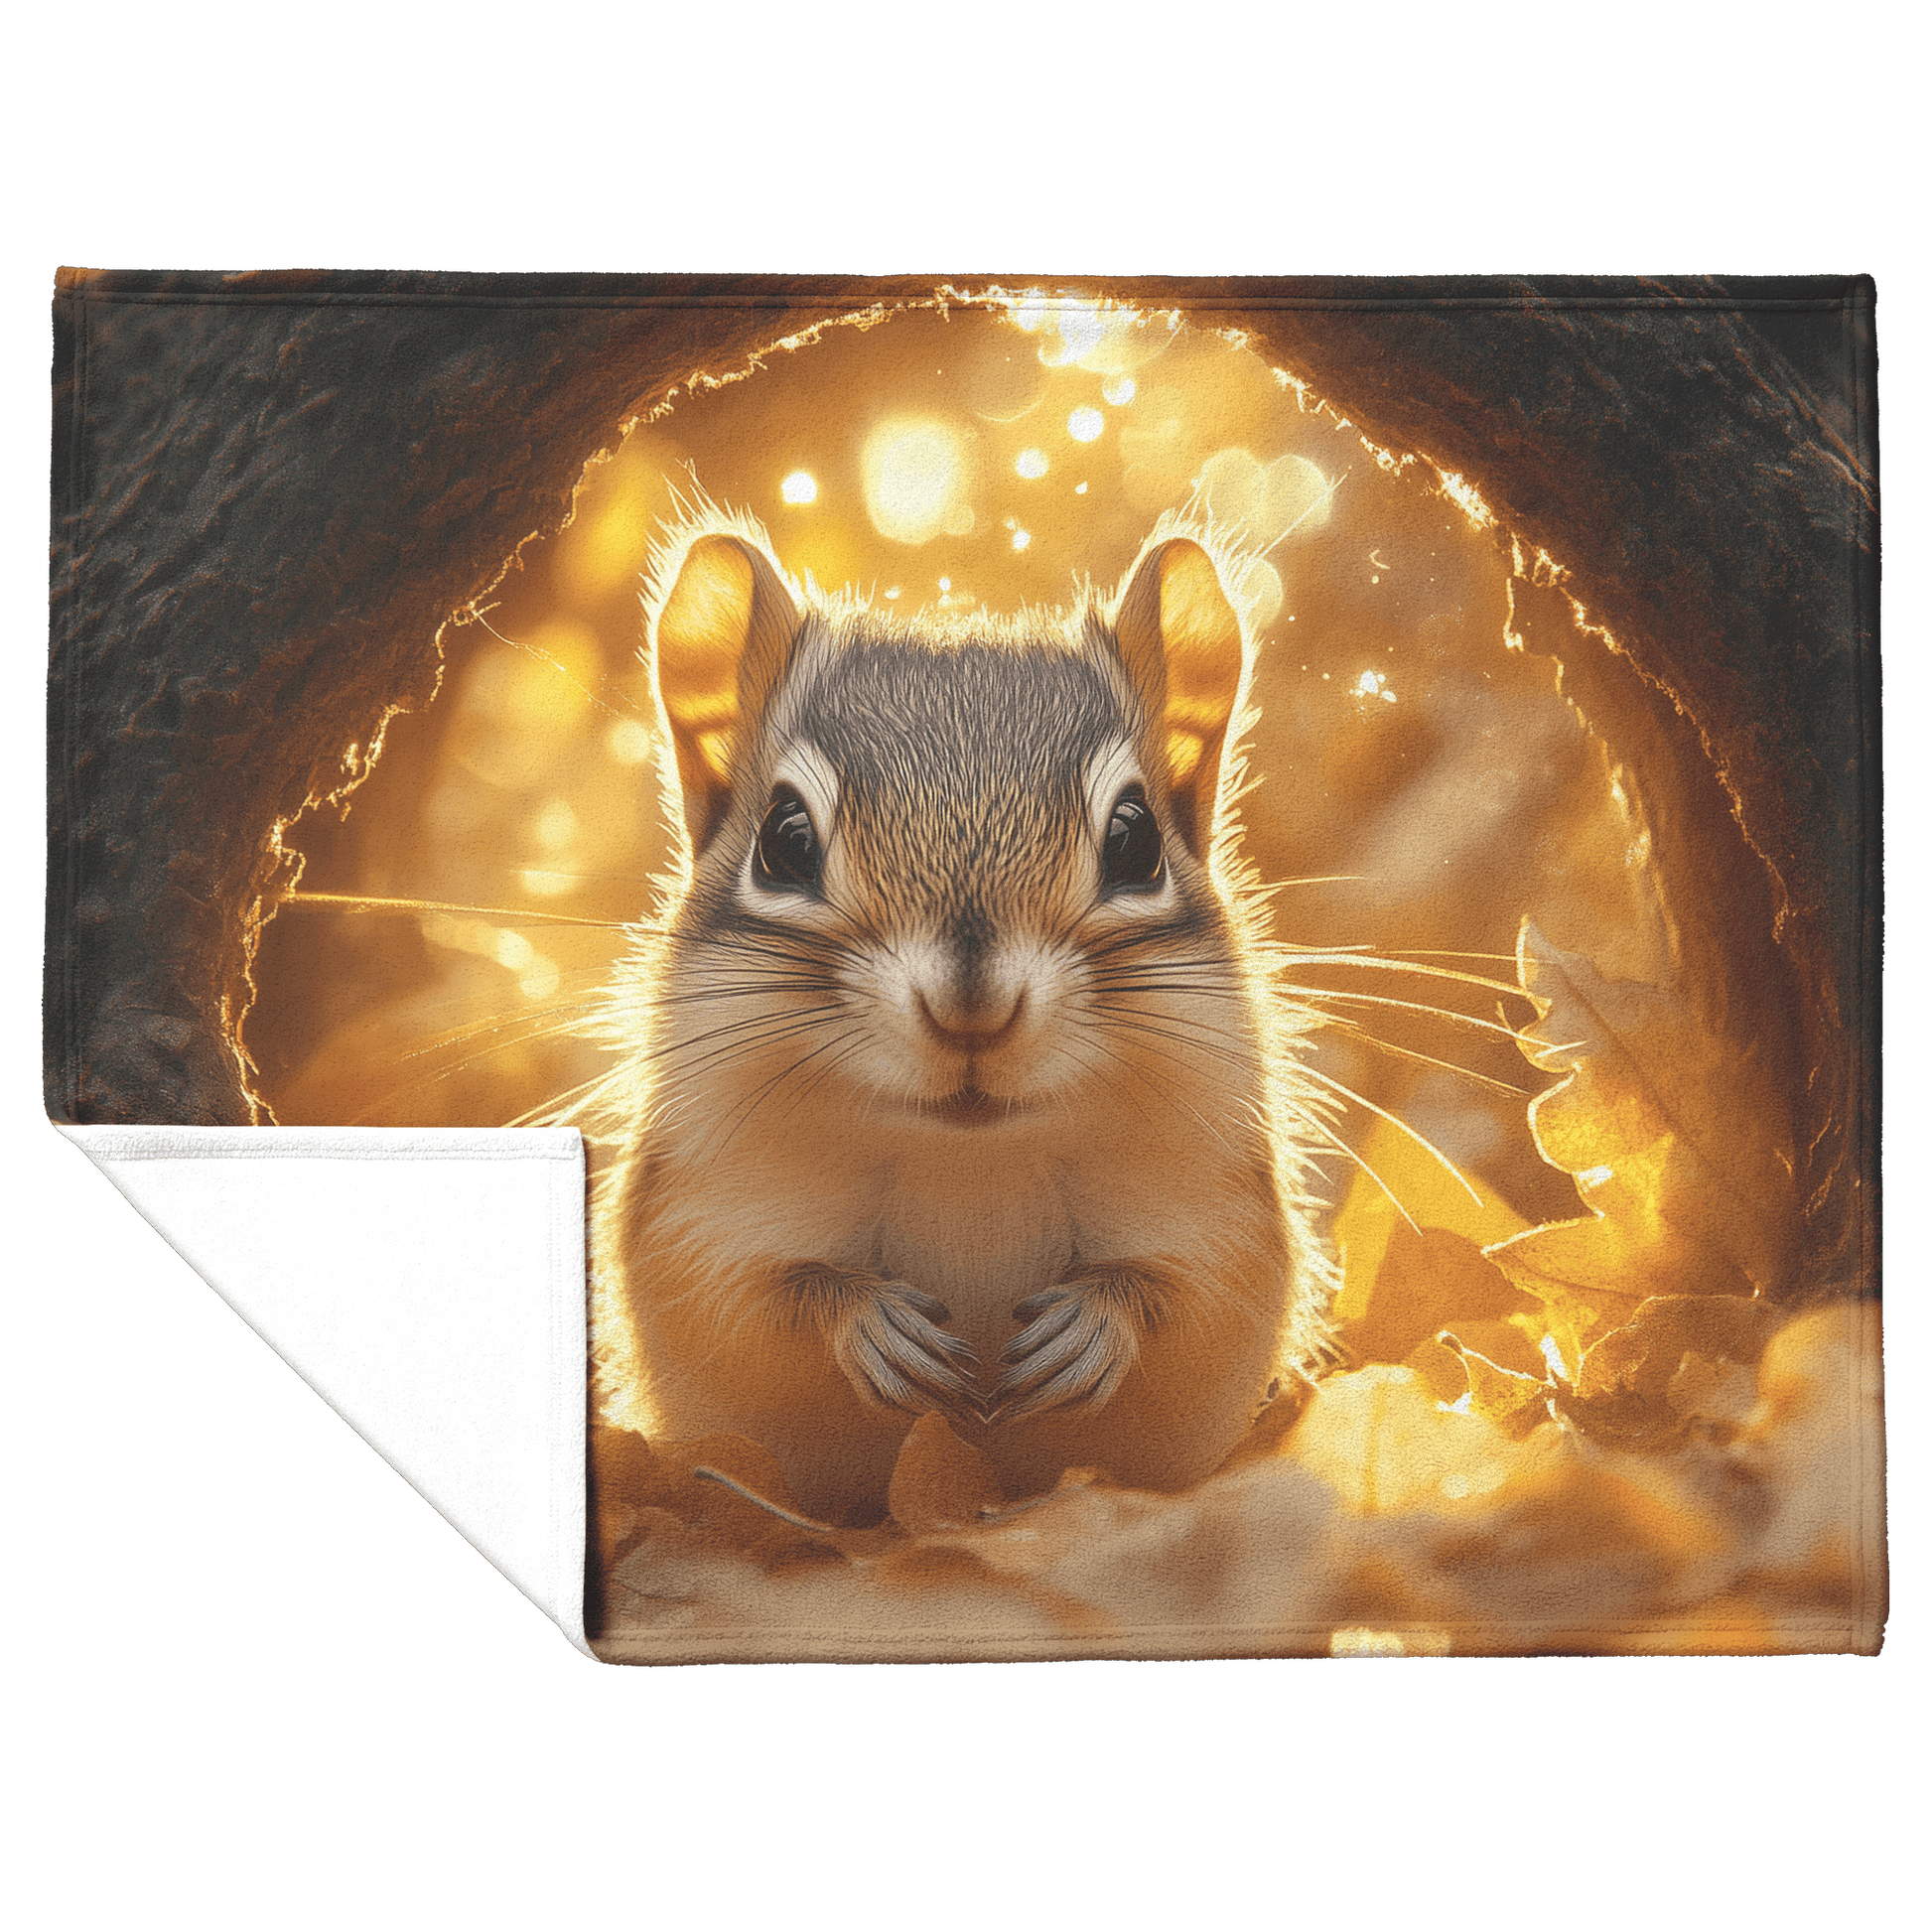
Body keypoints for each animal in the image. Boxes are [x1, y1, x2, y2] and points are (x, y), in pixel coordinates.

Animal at [587, 510, 1338, 1523]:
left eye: (1135, 838)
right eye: (785, 840)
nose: (972, 1006)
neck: (967, 1158)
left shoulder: (1219, 1207)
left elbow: (1196, 1294)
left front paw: (1096, 1323)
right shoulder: (696, 1216)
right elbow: (743, 1300)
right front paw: (867, 1323)